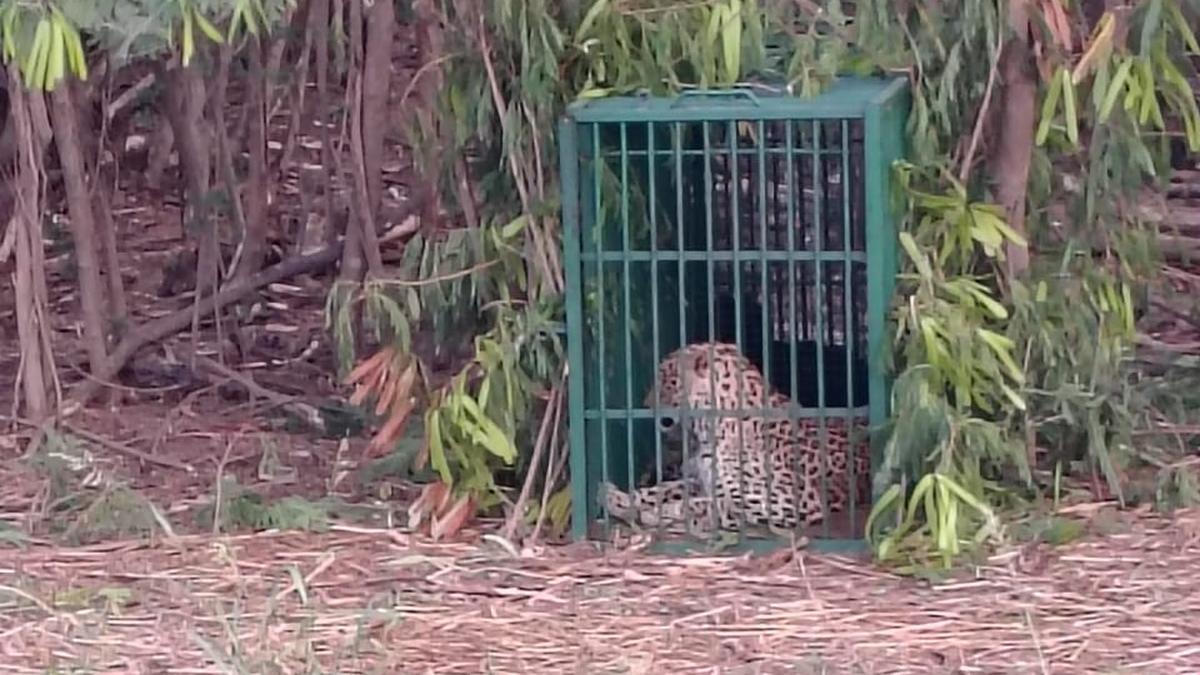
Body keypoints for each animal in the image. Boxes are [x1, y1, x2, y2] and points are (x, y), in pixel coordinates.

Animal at [601, 341, 872, 535]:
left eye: (667, 380)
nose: (645, 404)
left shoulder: (793, 500)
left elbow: (714, 503)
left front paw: (661, 513)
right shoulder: (701, 479)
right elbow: (664, 489)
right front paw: (621, 499)